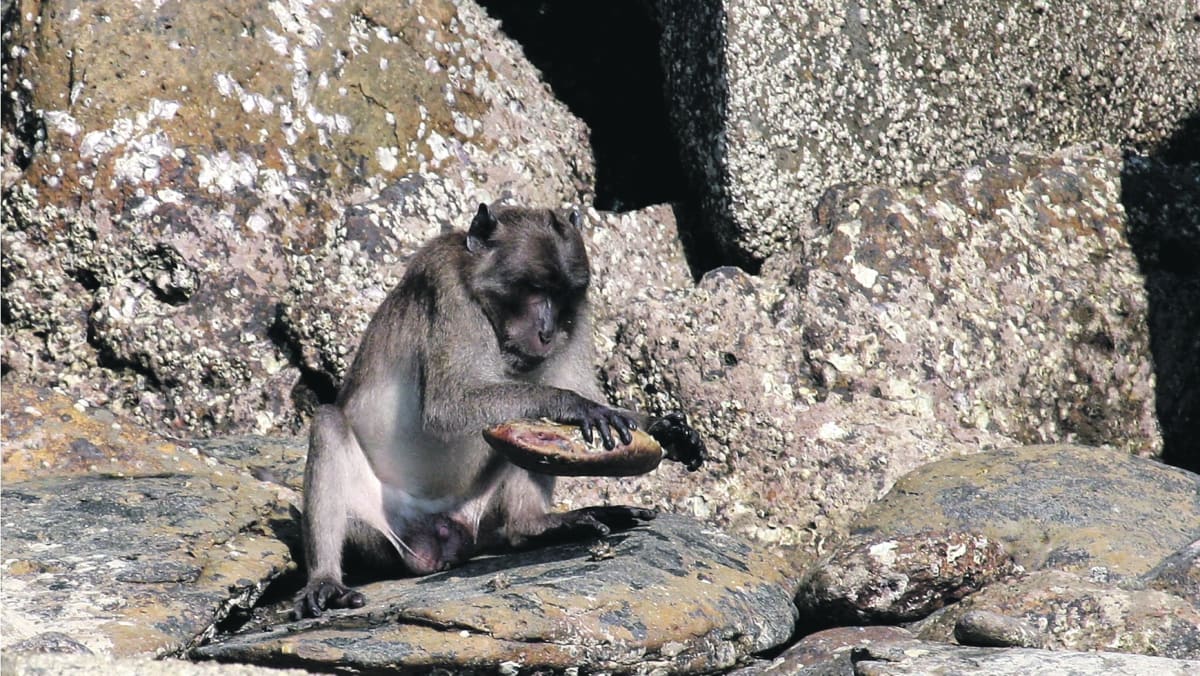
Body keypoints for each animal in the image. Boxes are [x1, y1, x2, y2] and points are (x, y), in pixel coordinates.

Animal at [295, 203, 706, 618]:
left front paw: (665, 429)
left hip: (478, 514)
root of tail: (437, 535)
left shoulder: (578, 316)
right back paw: (326, 579)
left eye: (561, 294)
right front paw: (574, 406)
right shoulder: (447, 292)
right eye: (534, 288)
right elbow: (449, 406)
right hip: (374, 528)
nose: (546, 333)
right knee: (328, 421)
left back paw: (536, 525)